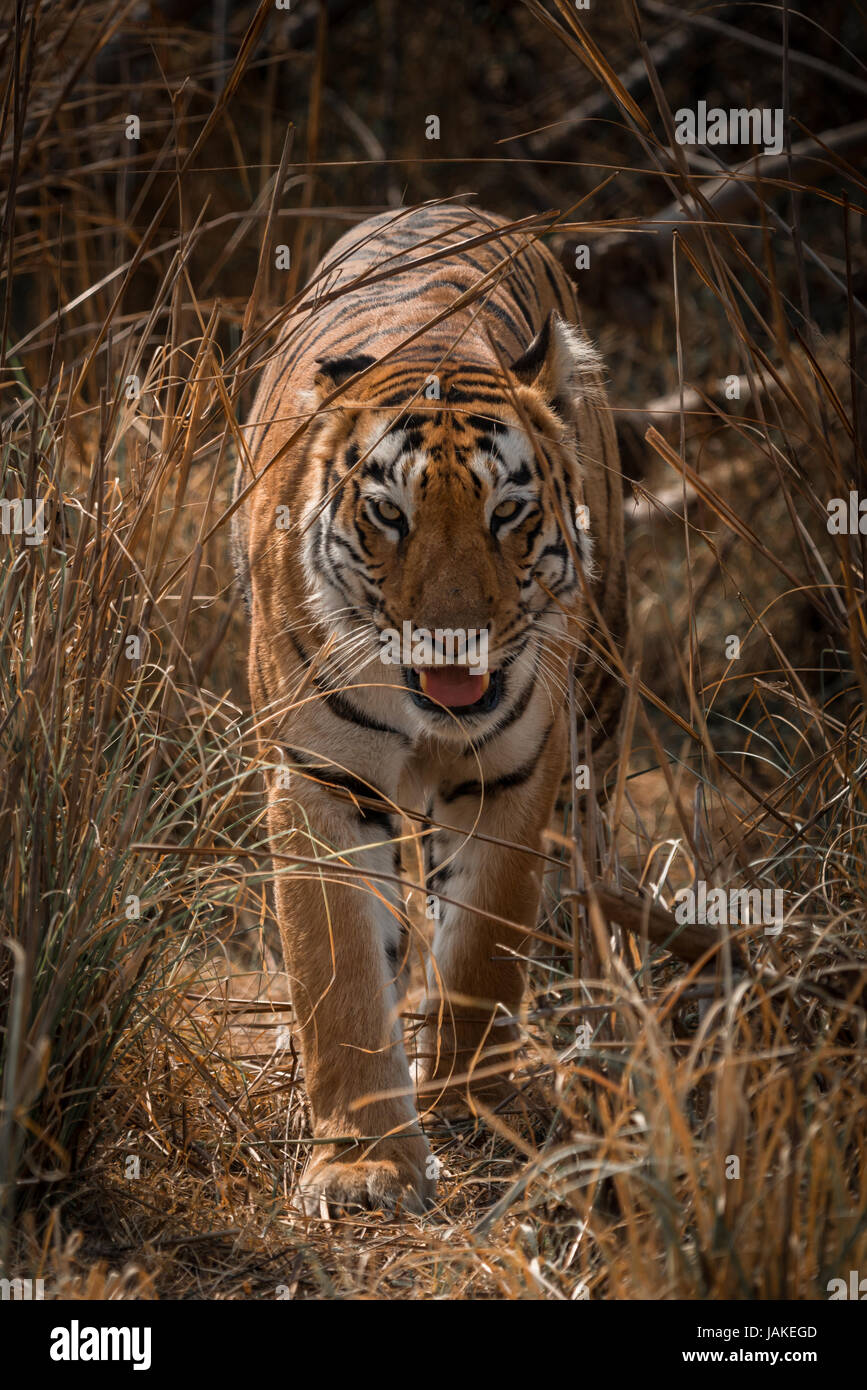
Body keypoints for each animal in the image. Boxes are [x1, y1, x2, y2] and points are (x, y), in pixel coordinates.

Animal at [232, 201, 628, 1215]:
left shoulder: (514, 771)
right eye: (389, 515)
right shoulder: (322, 782)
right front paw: (364, 1159)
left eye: (507, 513)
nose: (451, 641)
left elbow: (482, 947)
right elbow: (337, 969)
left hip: (599, 709)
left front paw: (466, 1102)